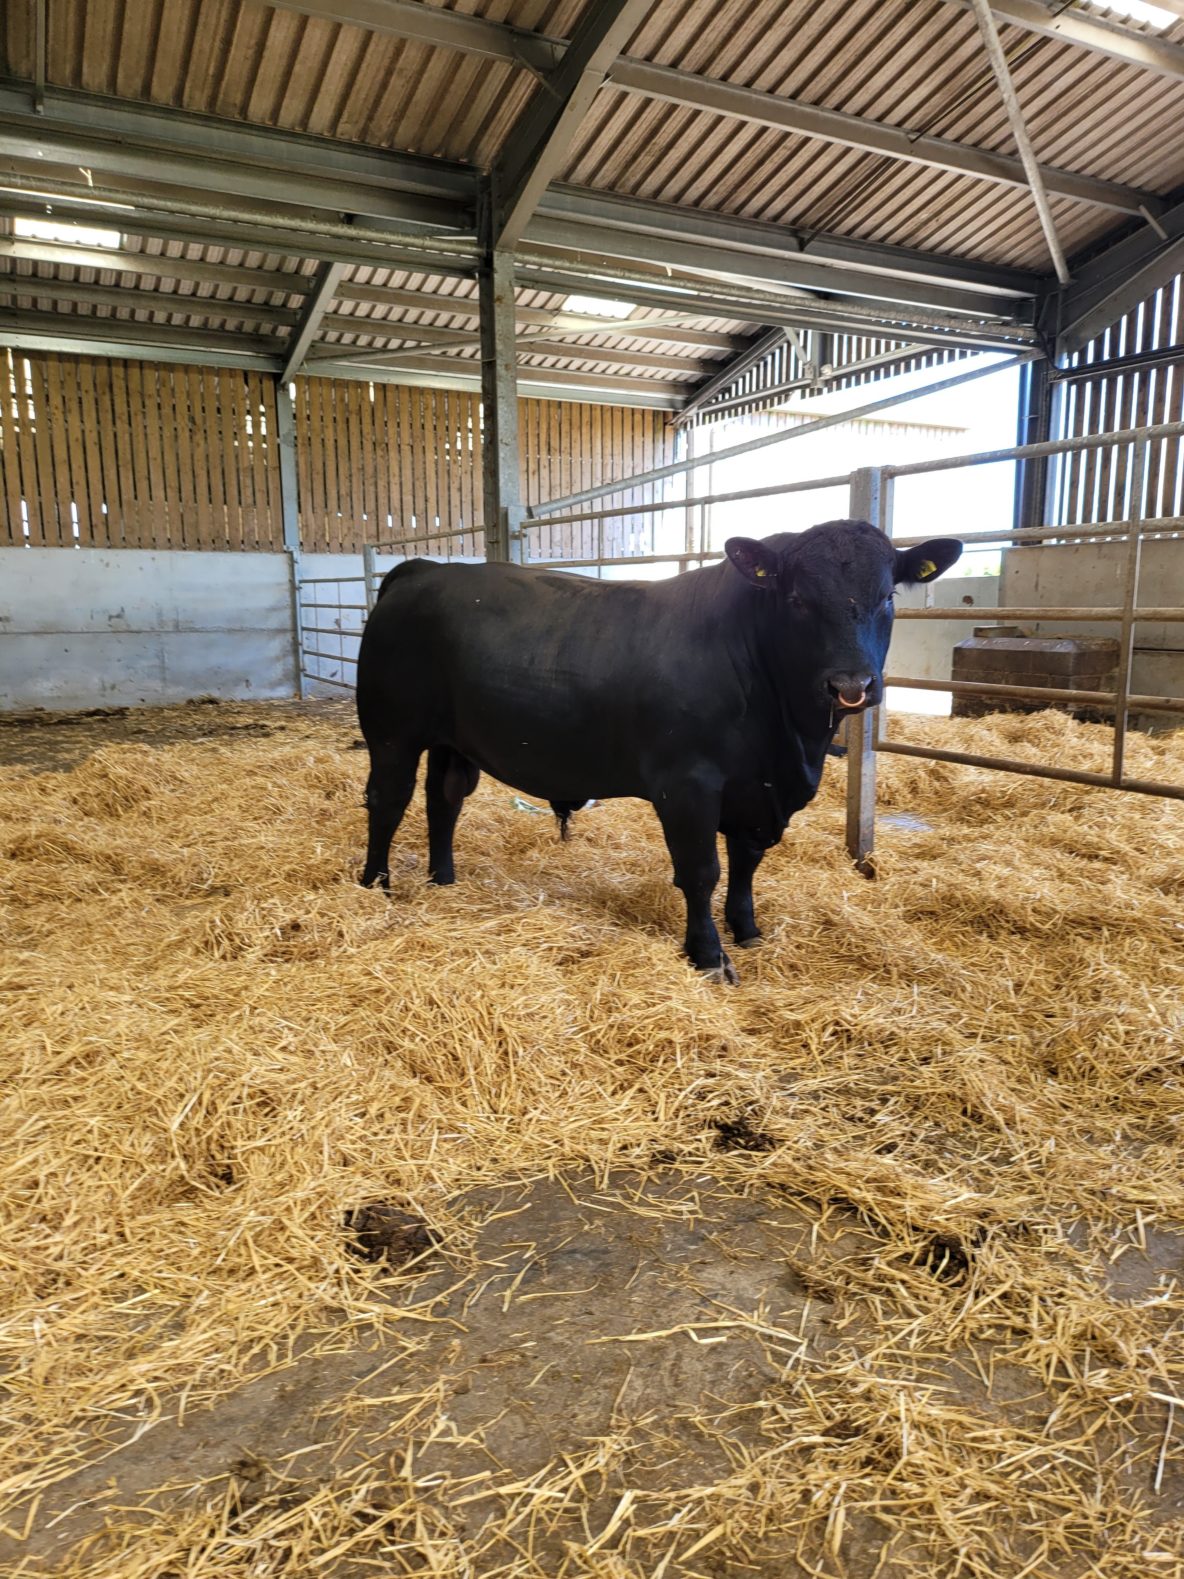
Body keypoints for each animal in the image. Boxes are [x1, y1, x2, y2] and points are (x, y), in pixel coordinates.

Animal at [355, 520, 962, 981]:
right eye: (796, 599)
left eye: (887, 597)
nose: (850, 685)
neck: (789, 744)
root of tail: (426, 570)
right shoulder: (687, 785)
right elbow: (700, 870)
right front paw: (709, 955)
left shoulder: (756, 793)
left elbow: (746, 864)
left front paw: (747, 930)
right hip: (392, 732)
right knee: (388, 800)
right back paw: (375, 885)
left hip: (451, 741)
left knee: (444, 801)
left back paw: (443, 881)